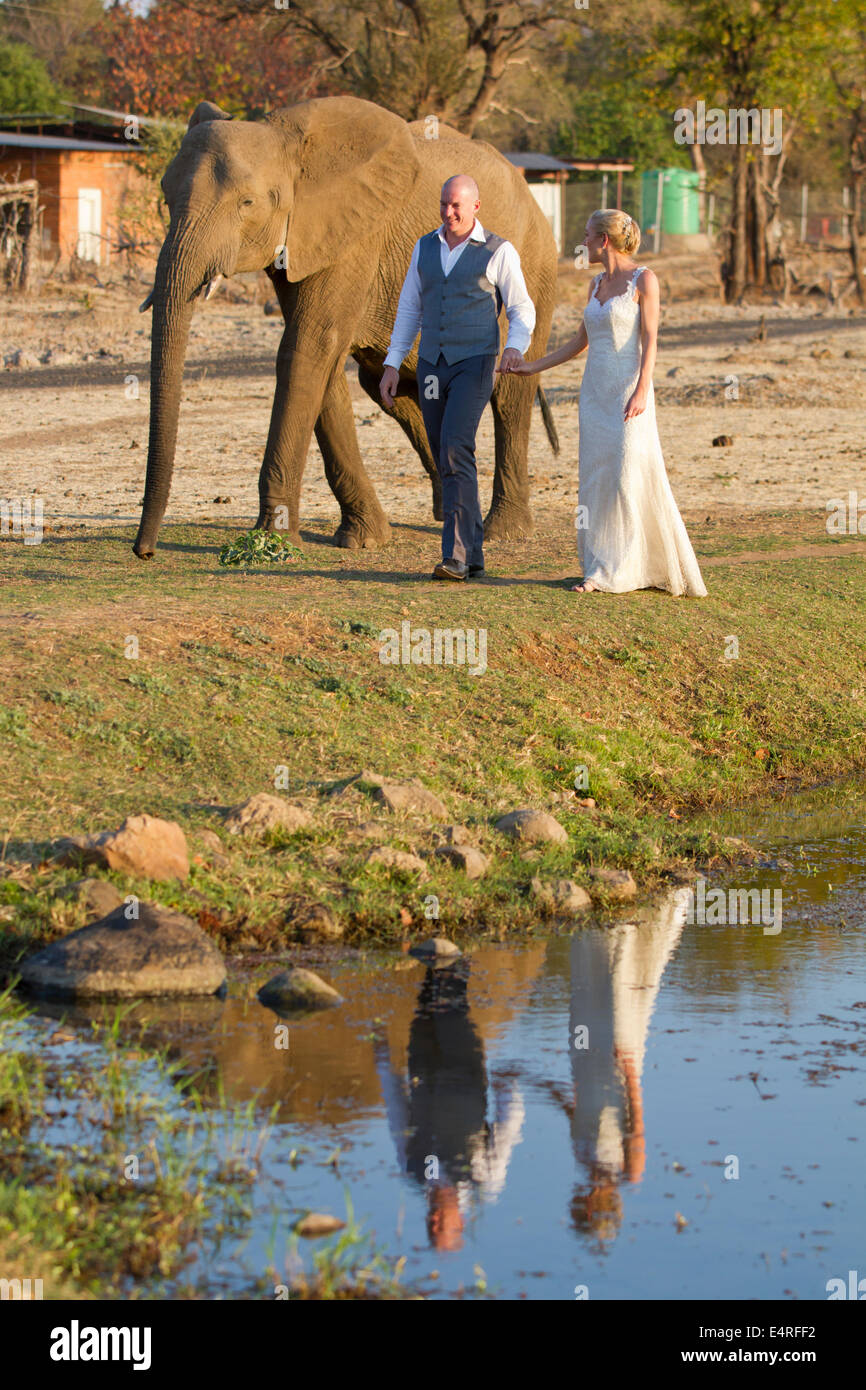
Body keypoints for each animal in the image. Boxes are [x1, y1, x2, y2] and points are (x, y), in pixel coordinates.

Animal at [133, 95, 560, 560]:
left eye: (247, 203)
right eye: (165, 196)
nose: (145, 551)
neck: (286, 142)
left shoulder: (353, 238)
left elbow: (307, 349)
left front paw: (272, 540)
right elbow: (323, 365)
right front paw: (363, 539)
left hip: (533, 267)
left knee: (510, 393)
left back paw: (504, 530)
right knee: (394, 391)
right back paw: (450, 512)